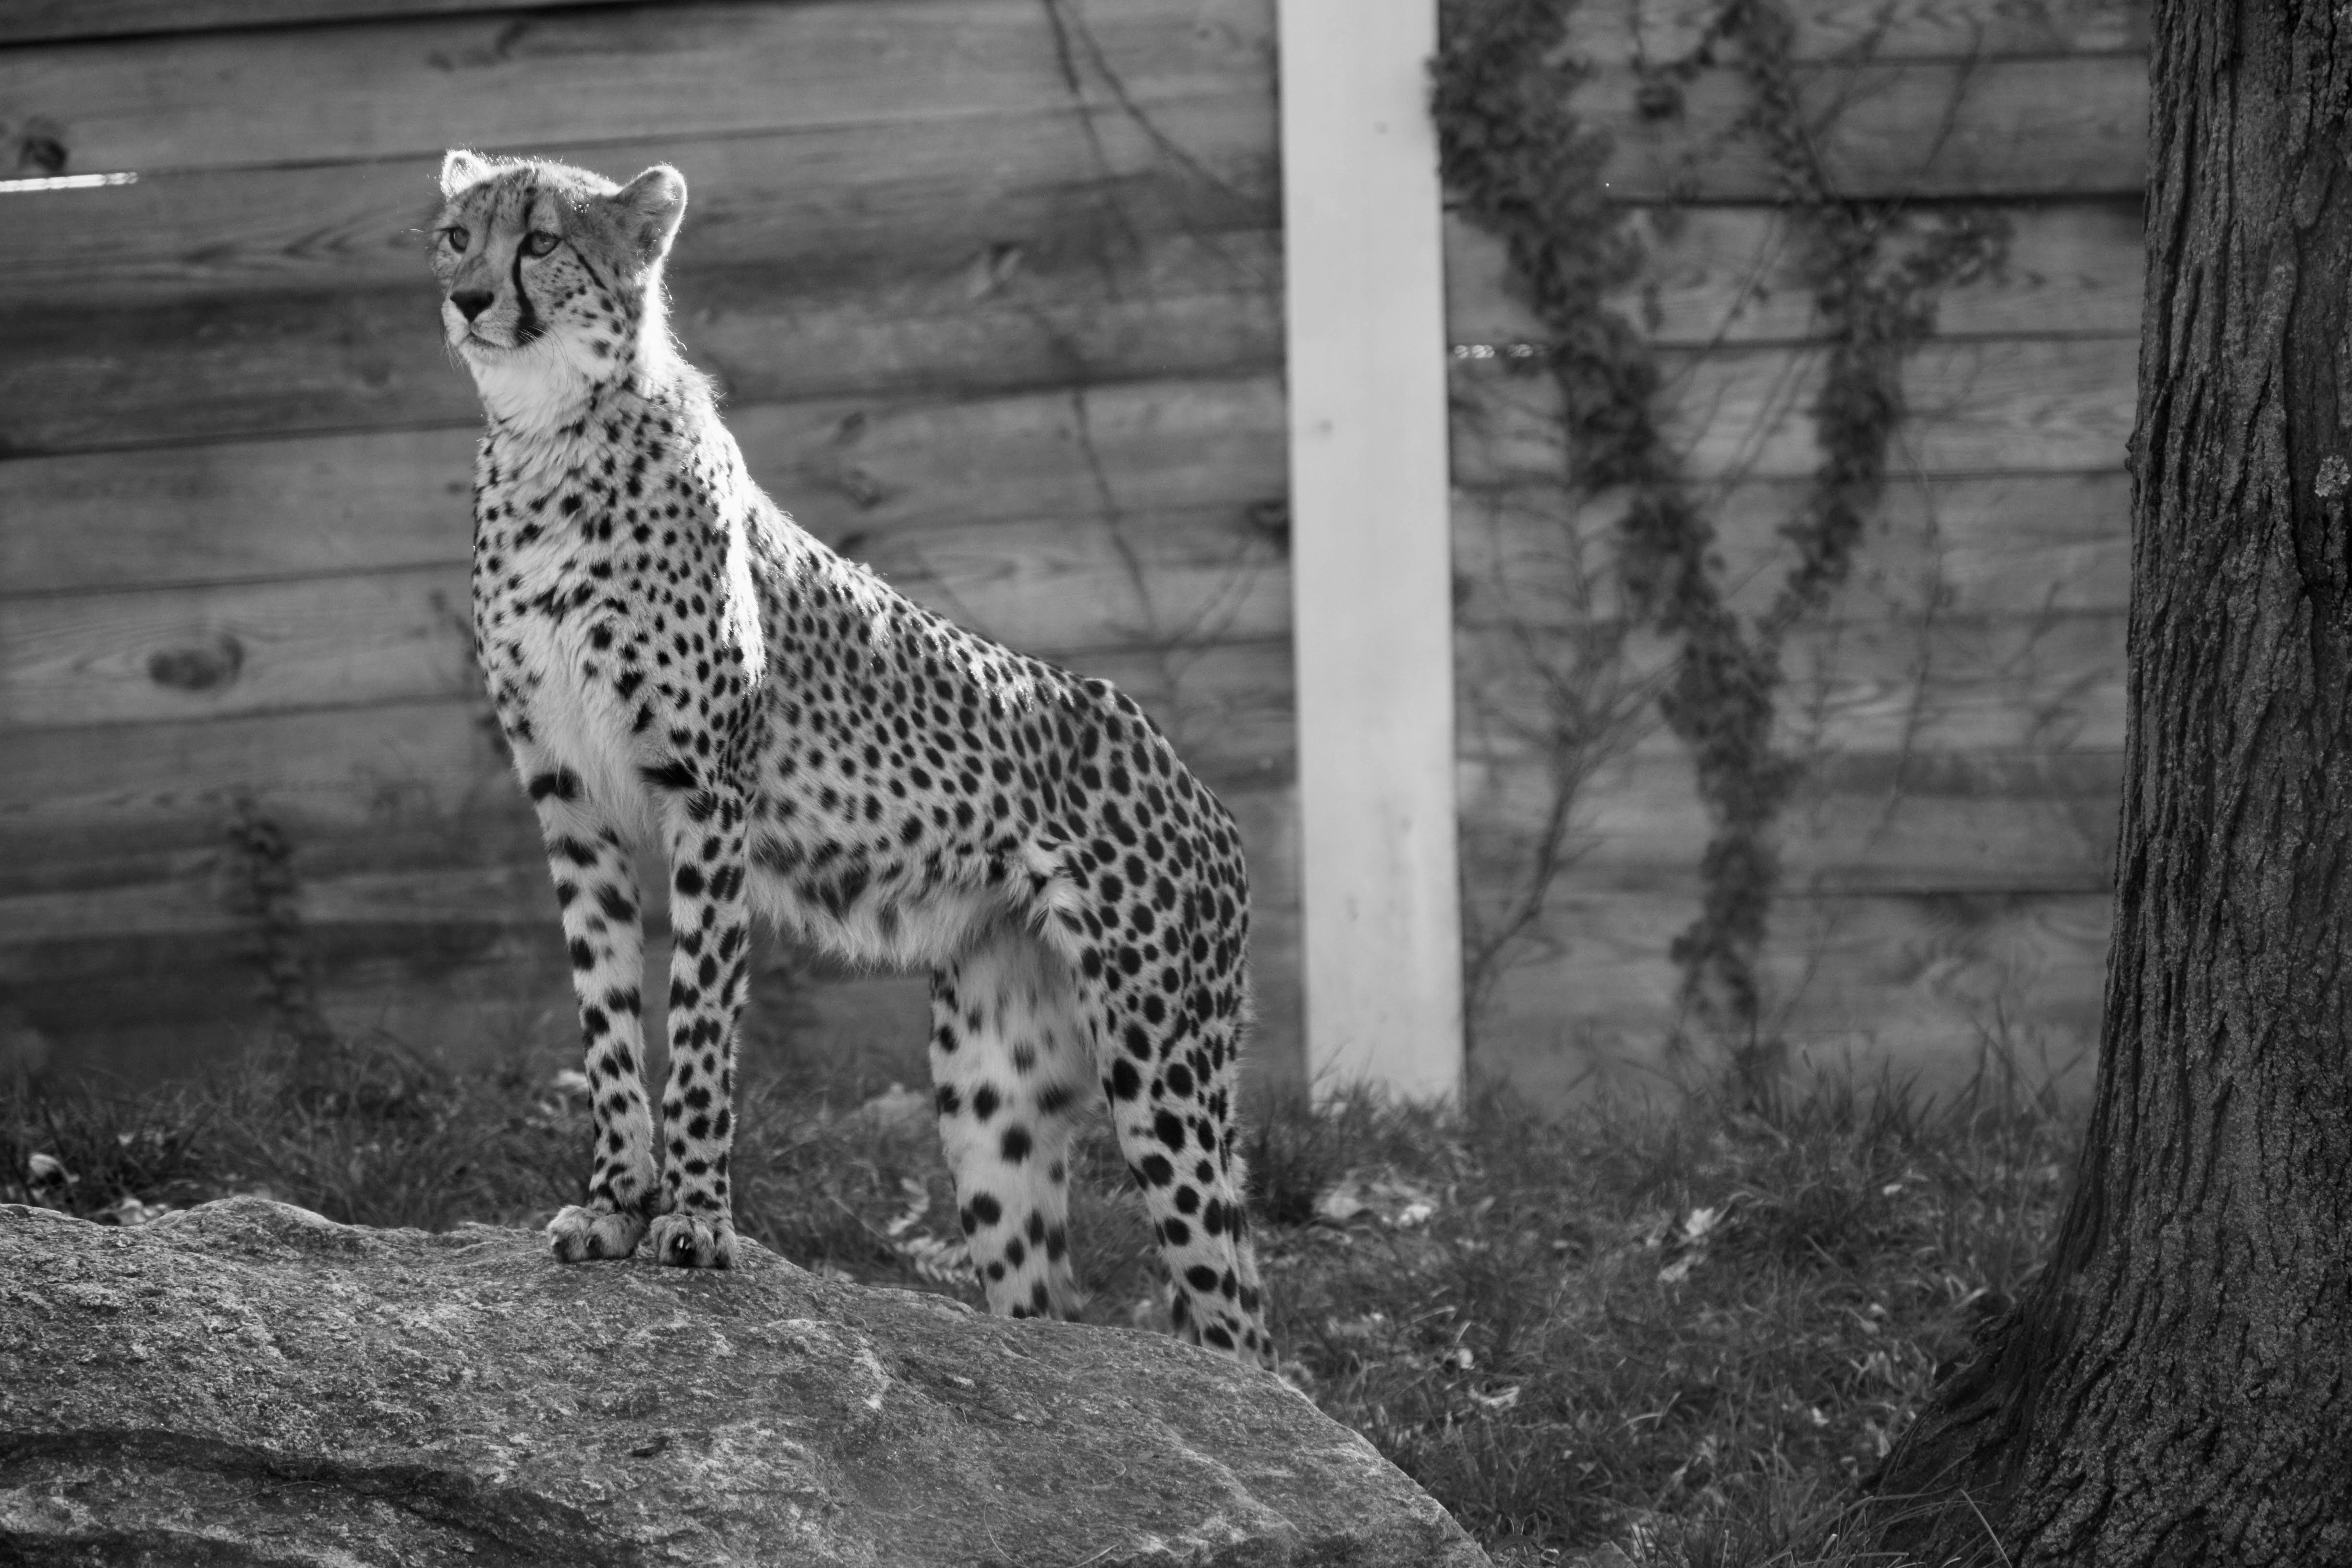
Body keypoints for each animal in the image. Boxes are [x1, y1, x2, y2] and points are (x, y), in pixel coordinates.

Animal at [427, 149, 1271, 1366]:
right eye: (457, 235)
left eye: (540, 240)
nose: (466, 298)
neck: (550, 435)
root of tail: (1198, 784)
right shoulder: (567, 796)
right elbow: (606, 1017)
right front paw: (614, 1202)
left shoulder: (707, 797)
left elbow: (698, 1025)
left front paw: (693, 1219)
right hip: (990, 1097)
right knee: (1040, 1302)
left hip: (1162, 1071)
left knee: (1240, 1320)